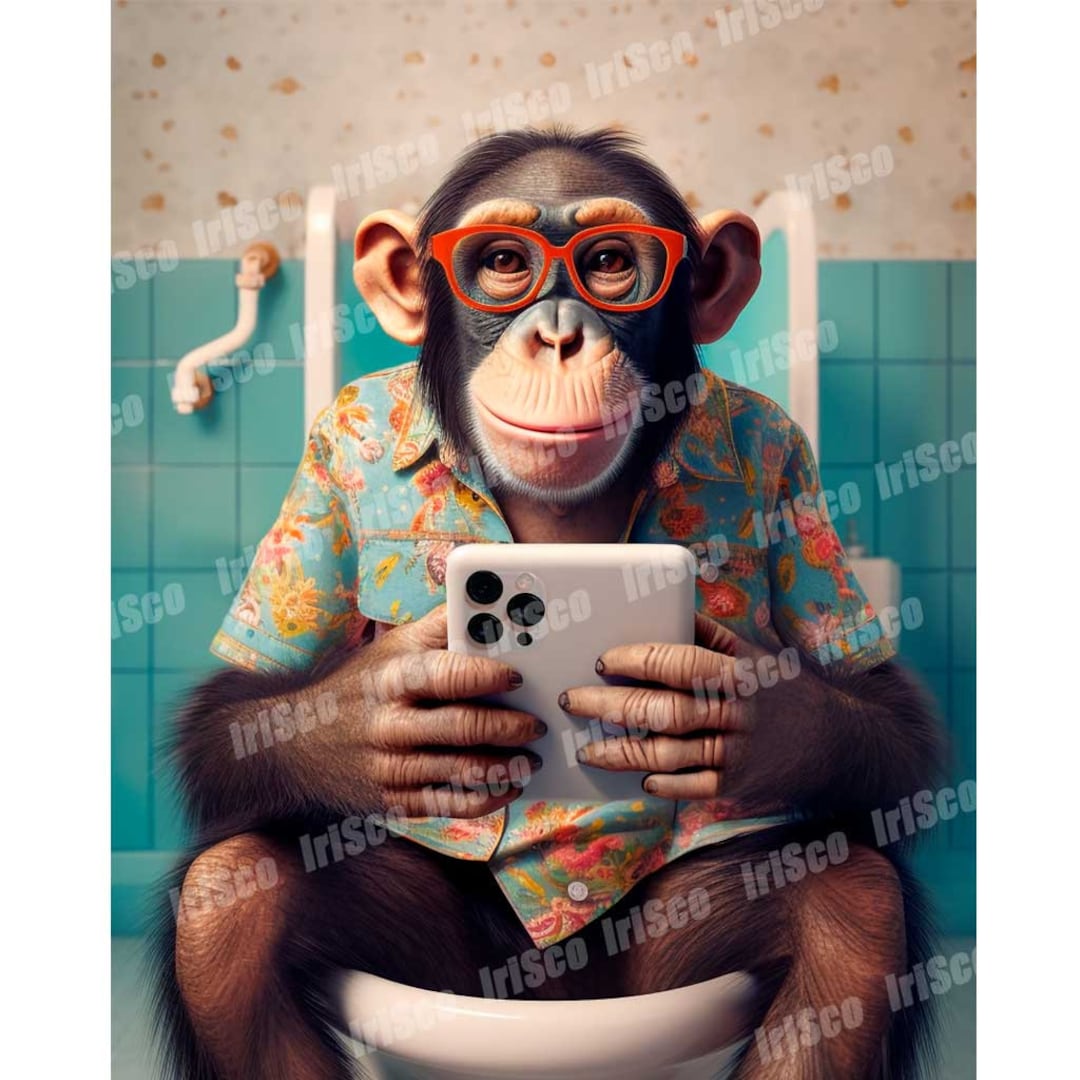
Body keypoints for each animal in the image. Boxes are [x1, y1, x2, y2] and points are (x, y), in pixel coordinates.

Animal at [148, 127, 946, 1079]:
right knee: (230, 903)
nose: (559, 335)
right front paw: (377, 715)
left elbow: (880, 711)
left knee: (848, 910)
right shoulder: (326, 442)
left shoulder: (786, 449)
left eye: (609, 263)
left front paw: (742, 712)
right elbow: (245, 706)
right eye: (503, 262)